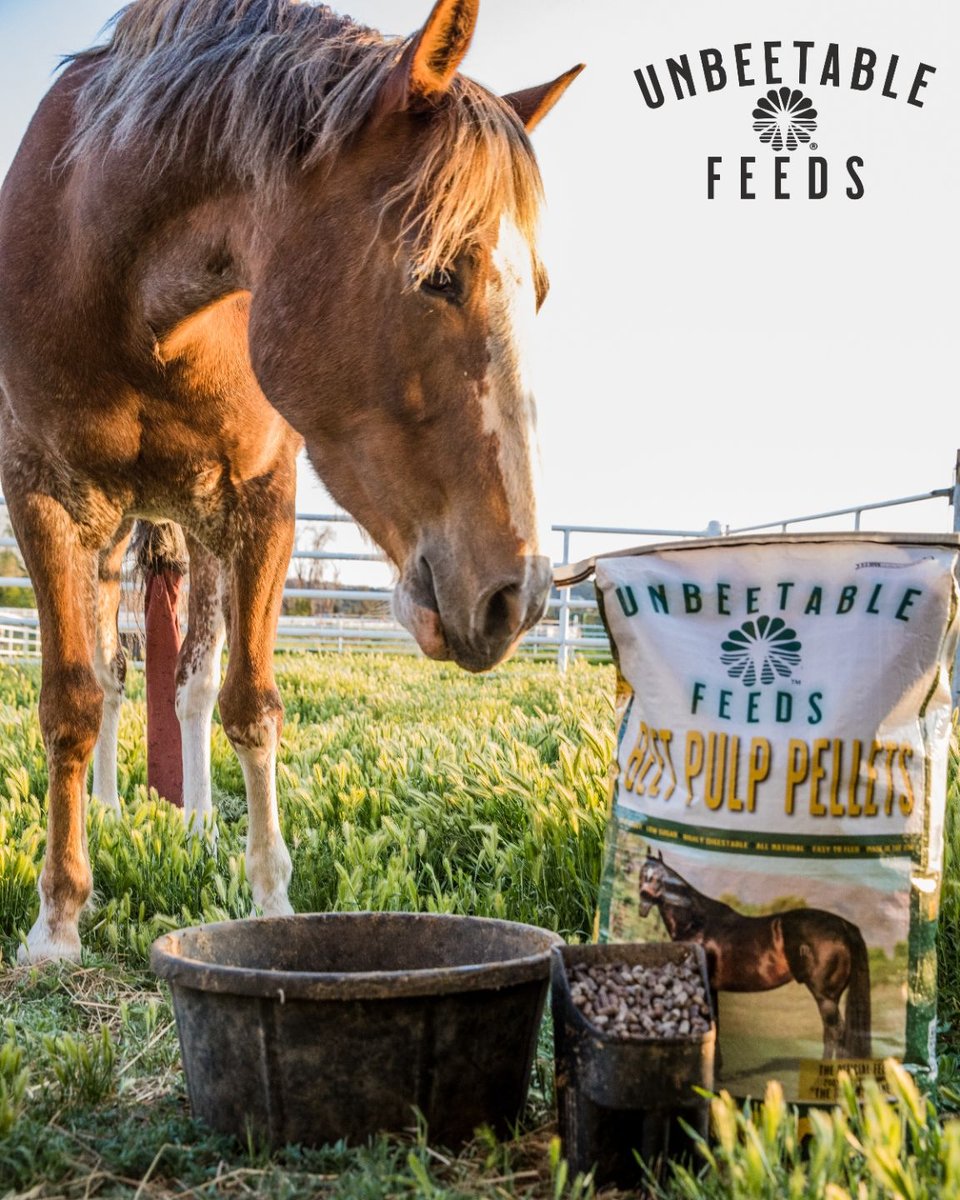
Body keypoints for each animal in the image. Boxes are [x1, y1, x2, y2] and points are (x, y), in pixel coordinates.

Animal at [0, 0, 583, 962]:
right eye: (437, 275)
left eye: (537, 291)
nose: (518, 597)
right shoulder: (43, 498)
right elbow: (72, 703)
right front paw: (56, 921)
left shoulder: (260, 501)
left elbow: (250, 702)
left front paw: (271, 902)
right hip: (115, 534)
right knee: (121, 674)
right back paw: (114, 809)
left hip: (197, 528)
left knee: (191, 680)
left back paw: (197, 822)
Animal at [637, 851, 872, 1059]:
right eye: (642, 873)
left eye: (659, 878)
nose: (643, 898)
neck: (697, 923)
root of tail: (843, 925)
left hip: (825, 996)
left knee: (834, 1032)